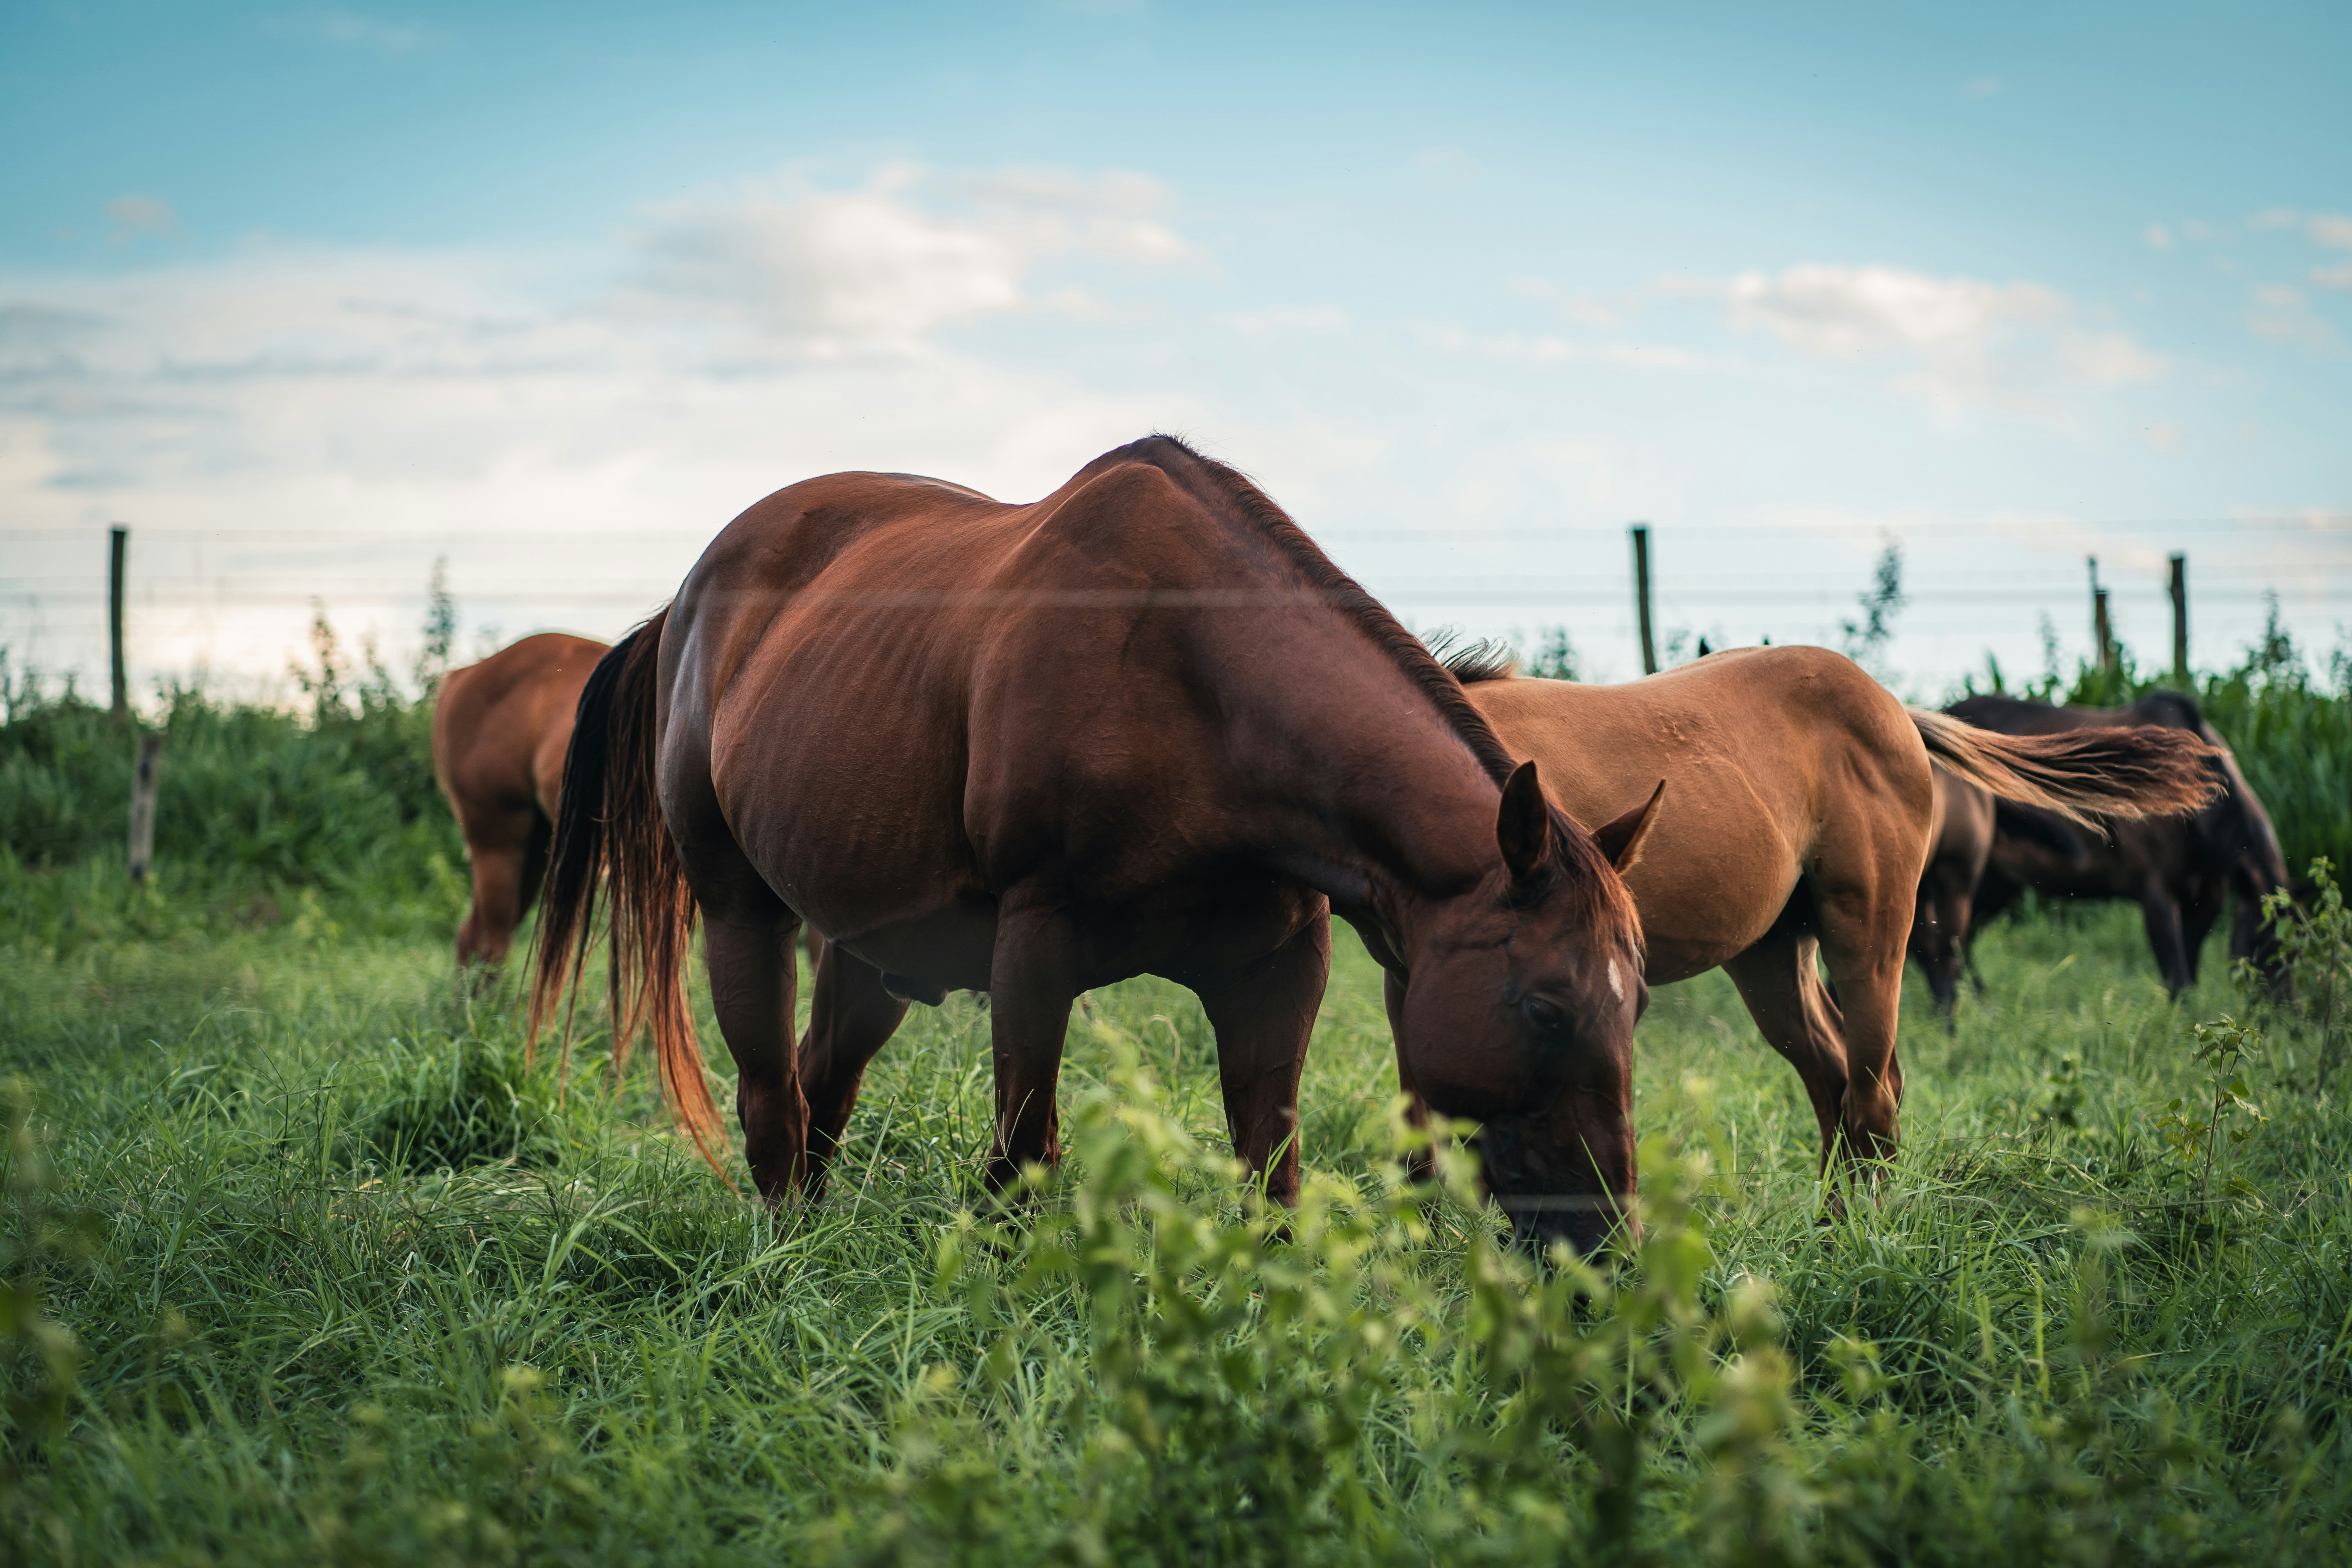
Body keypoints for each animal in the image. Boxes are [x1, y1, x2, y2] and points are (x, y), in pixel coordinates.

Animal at [532, 436, 1659, 1254]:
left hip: (871, 948)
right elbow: (1021, 1156)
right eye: (1543, 1007)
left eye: (1635, 1002)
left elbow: (1269, 1164)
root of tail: (686, 603)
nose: (1605, 1239)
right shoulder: (1036, 944)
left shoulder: (1276, 967)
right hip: (740, 912)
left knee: (822, 1089)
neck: (1198, 688)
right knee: (771, 1100)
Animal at [1946, 691, 2289, 995]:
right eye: (2267, 946)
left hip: (1997, 880)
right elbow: (2177, 979)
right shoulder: (2156, 895)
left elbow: (2189, 974)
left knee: (1964, 936)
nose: (2290, 1016)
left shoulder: (2206, 900)